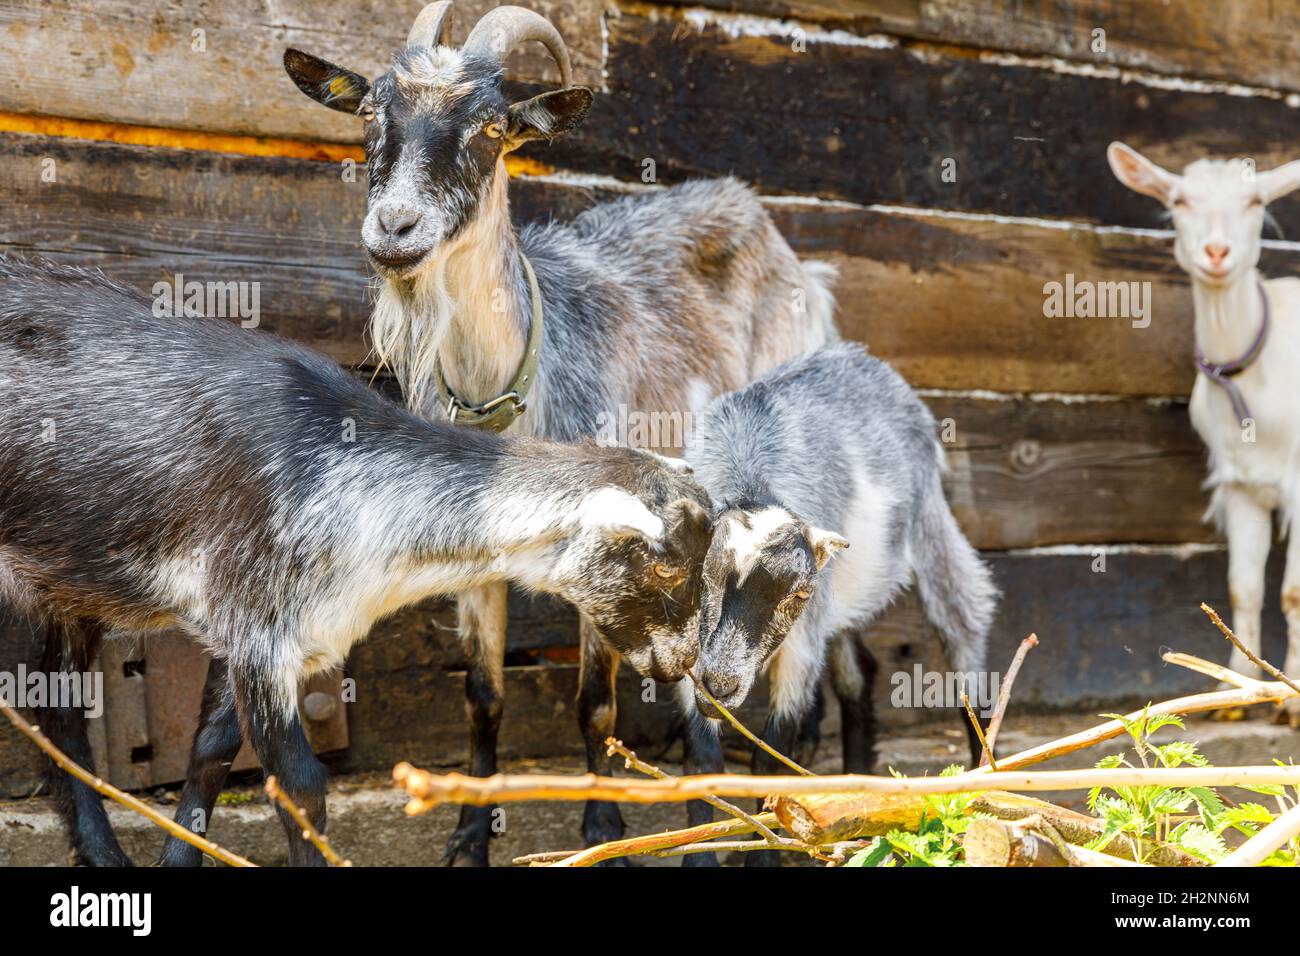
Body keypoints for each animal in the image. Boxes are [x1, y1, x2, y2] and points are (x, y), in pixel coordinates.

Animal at [0, 256, 714, 865]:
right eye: (667, 566)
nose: (683, 665)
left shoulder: (245, 625)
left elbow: (210, 750)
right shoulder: (258, 629)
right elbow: (300, 786)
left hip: (65, 585)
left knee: (56, 708)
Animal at [283, 1, 844, 862]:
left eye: (489, 127)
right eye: (373, 111)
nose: (395, 228)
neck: (515, 386)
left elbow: (594, 703)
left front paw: (602, 825)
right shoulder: (472, 557)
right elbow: (482, 694)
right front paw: (468, 834)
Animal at [678, 342, 999, 865]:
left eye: (798, 593)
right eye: (700, 577)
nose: (722, 685)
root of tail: (862, 358)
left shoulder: (801, 640)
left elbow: (770, 758)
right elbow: (702, 758)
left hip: (929, 522)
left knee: (966, 616)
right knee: (858, 670)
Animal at [1108, 143, 1300, 726]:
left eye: (1256, 200)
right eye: (1179, 200)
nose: (1217, 252)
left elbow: (1294, 592)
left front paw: (1291, 703)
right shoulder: (1240, 484)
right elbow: (1243, 588)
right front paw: (1238, 692)